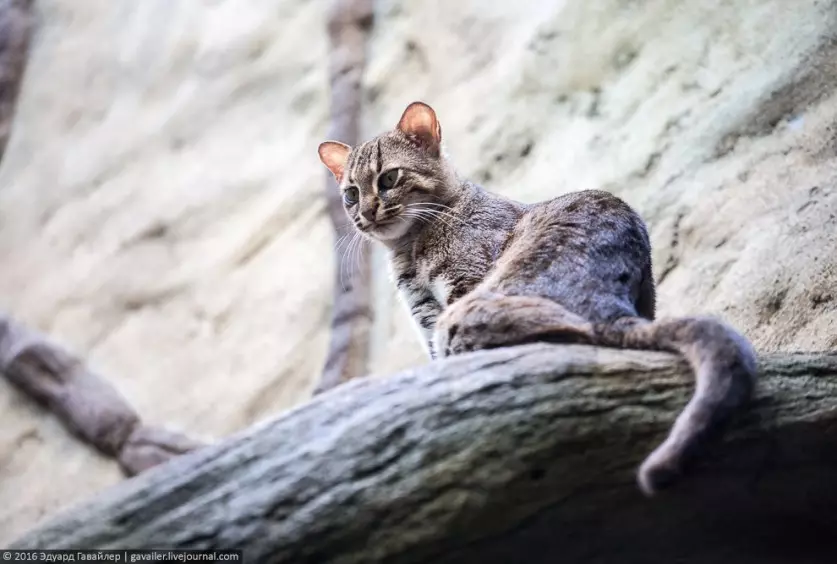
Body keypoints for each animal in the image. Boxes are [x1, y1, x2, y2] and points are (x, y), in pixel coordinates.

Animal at [316, 102, 756, 498]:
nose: (364, 214)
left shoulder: (461, 285)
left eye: (389, 178)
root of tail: (609, 302)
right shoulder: (424, 315)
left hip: (471, 314)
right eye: (350, 194)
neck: (409, 248)